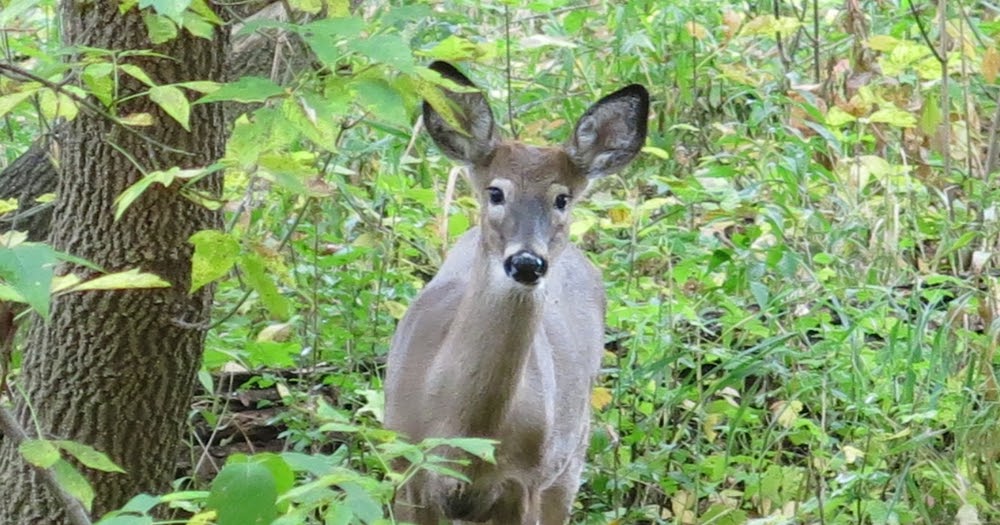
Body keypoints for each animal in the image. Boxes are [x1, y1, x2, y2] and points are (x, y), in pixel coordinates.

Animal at [384, 61, 648, 525]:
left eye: (562, 198)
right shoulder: (405, 469)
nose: (527, 262)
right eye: (496, 192)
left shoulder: (525, 480)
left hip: (571, 454)